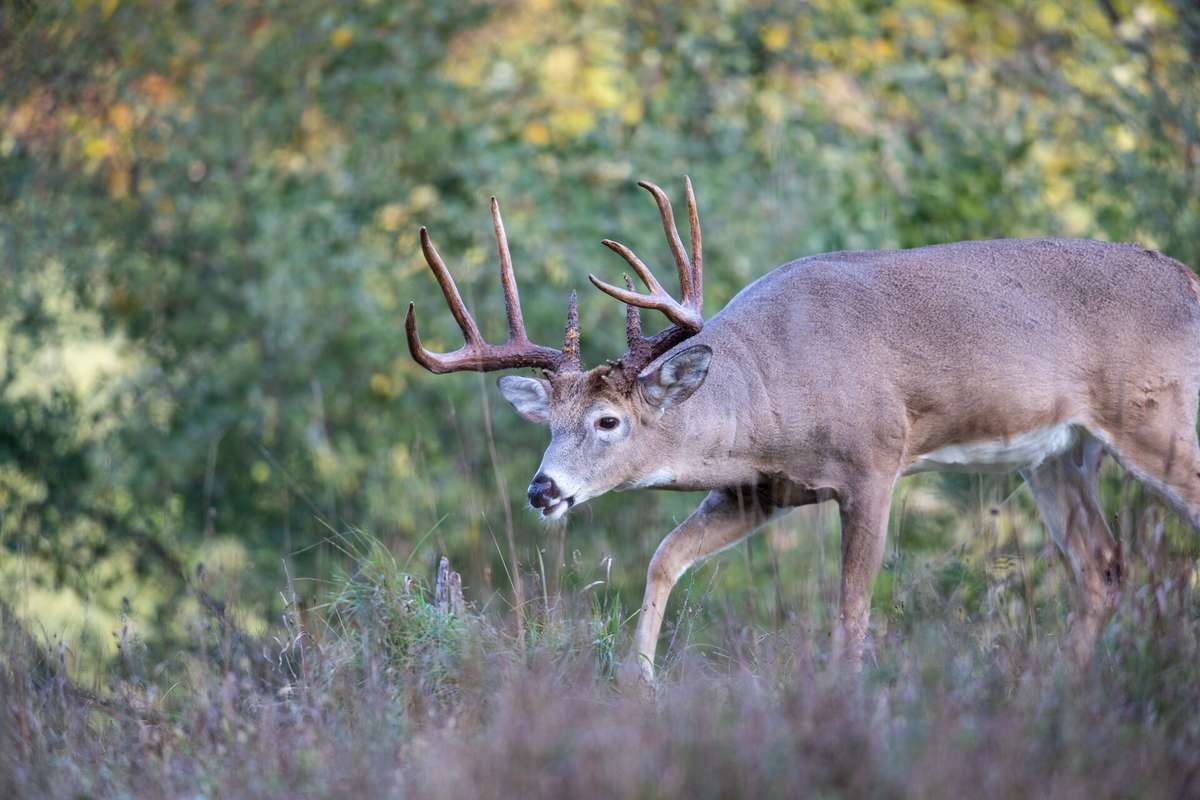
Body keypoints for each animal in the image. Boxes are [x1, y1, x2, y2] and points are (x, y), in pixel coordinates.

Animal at [405, 178, 1200, 683]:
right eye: (550, 421)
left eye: (608, 420)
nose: (542, 490)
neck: (775, 392)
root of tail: (1188, 277)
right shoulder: (760, 491)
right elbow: (664, 559)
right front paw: (640, 684)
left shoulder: (875, 461)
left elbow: (851, 610)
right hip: (1058, 455)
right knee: (1102, 567)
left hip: (1157, 418)